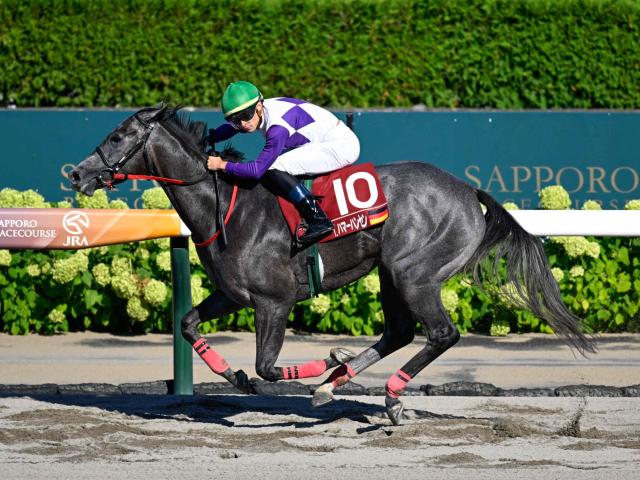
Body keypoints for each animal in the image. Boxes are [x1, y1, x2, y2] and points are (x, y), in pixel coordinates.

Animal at [70, 105, 595, 425]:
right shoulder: (232, 295)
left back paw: (385, 394)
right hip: (389, 273)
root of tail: (469, 191)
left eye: (118, 135)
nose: (77, 173)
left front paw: (326, 359)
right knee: (399, 332)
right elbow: (187, 324)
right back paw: (337, 386)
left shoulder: (274, 301)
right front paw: (234, 375)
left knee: (441, 334)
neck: (229, 206)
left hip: (414, 274)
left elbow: (266, 367)